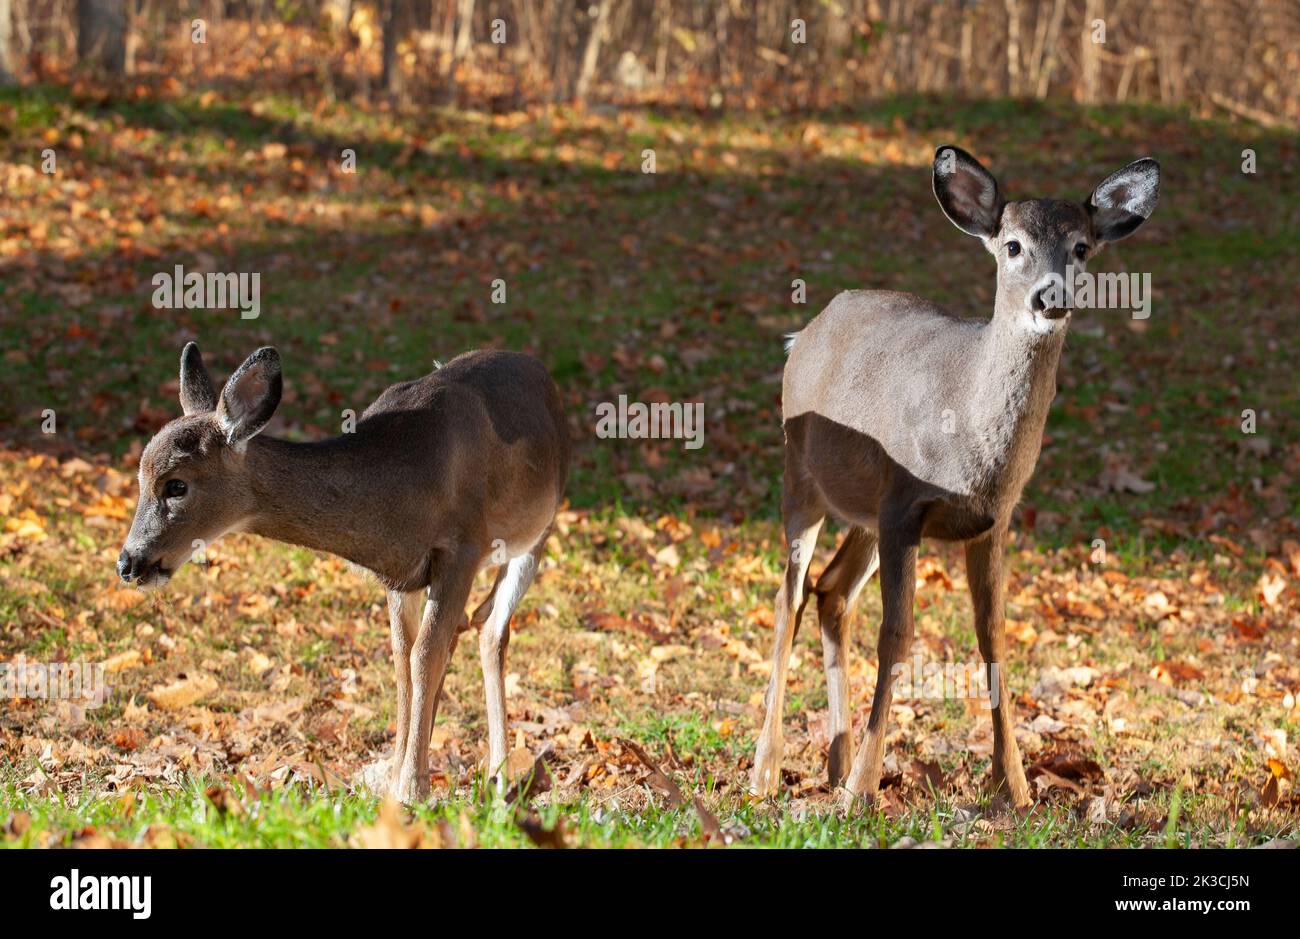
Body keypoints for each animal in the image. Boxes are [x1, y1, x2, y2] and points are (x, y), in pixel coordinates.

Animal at [117, 344, 571, 804]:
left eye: (175, 485)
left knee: (492, 632)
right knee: (466, 627)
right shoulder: (400, 576)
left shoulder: (463, 547)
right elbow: (403, 658)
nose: (129, 563)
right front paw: (393, 777)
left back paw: (500, 776)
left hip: (538, 532)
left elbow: (424, 655)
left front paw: (412, 789)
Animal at [751, 146, 1159, 809]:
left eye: (1080, 247)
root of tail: (803, 333)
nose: (1050, 298)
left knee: (832, 591)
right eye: (1013, 245)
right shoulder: (904, 505)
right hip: (800, 476)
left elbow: (993, 635)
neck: (971, 437)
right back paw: (766, 769)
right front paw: (864, 791)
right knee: (790, 594)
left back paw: (835, 762)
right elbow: (897, 635)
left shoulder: (992, 521)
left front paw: (1014, 784)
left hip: (863, 511)